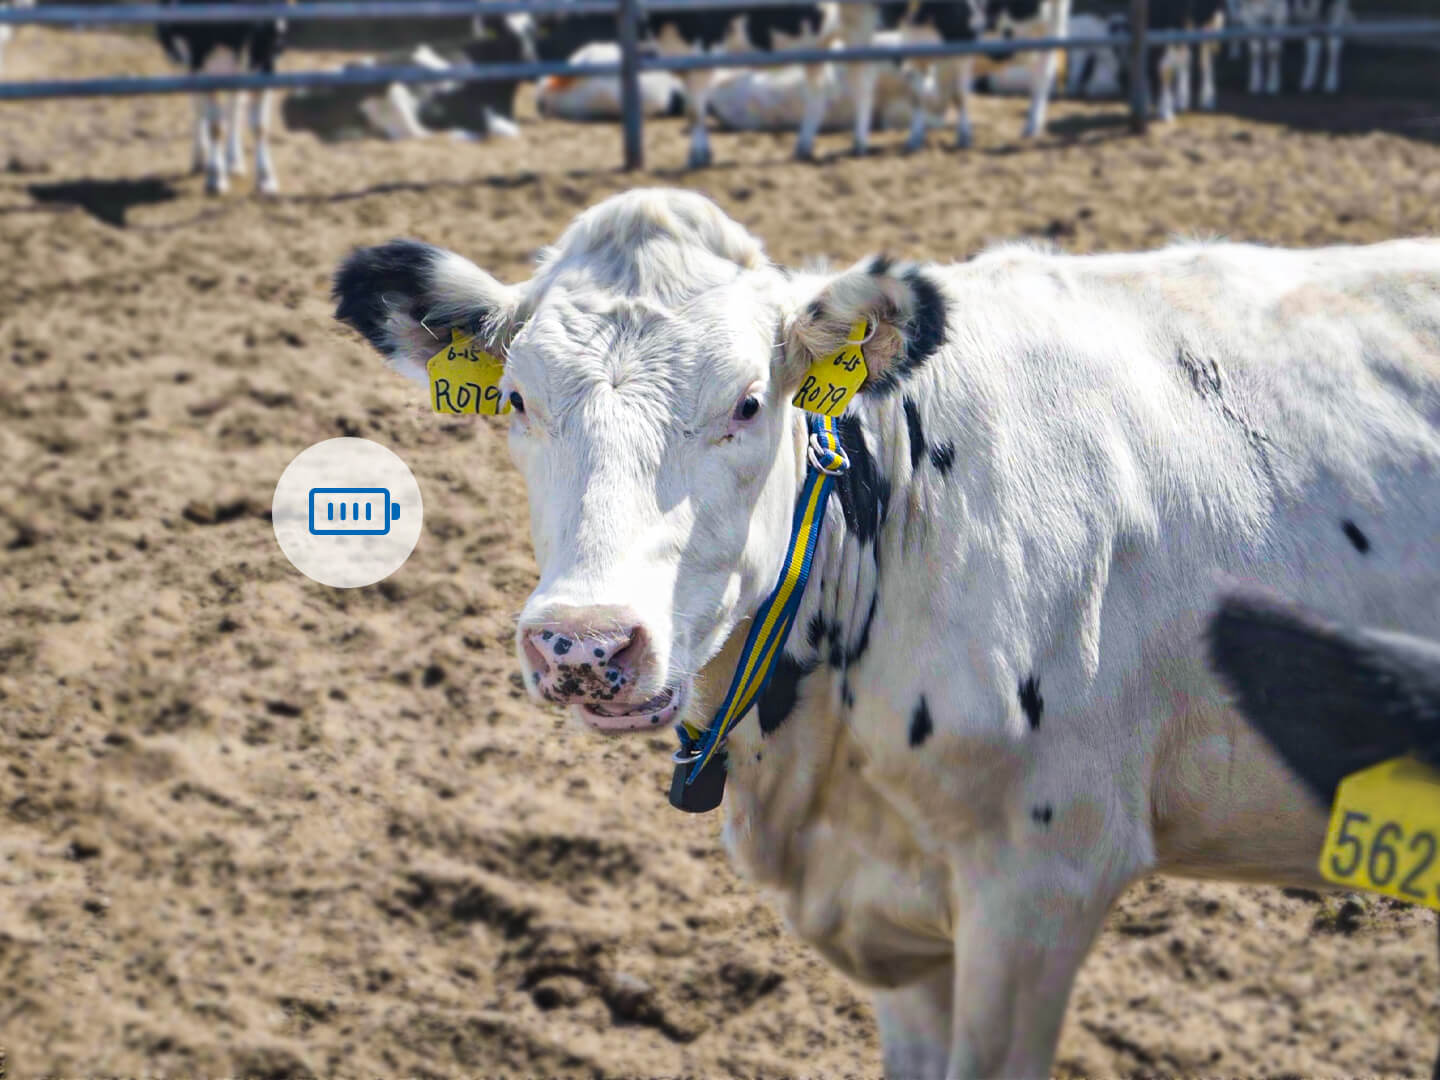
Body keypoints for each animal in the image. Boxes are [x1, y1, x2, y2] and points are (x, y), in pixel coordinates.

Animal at [157, 0, 284, 195]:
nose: (277, 31)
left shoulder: (264, 62)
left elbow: (260, 127)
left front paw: (266, 178)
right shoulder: (201, 63)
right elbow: (215, 126)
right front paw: (215, 176)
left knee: (234, 107)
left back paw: (234, 160)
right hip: (189, 61)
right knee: (198, 108)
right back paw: (200, 157)